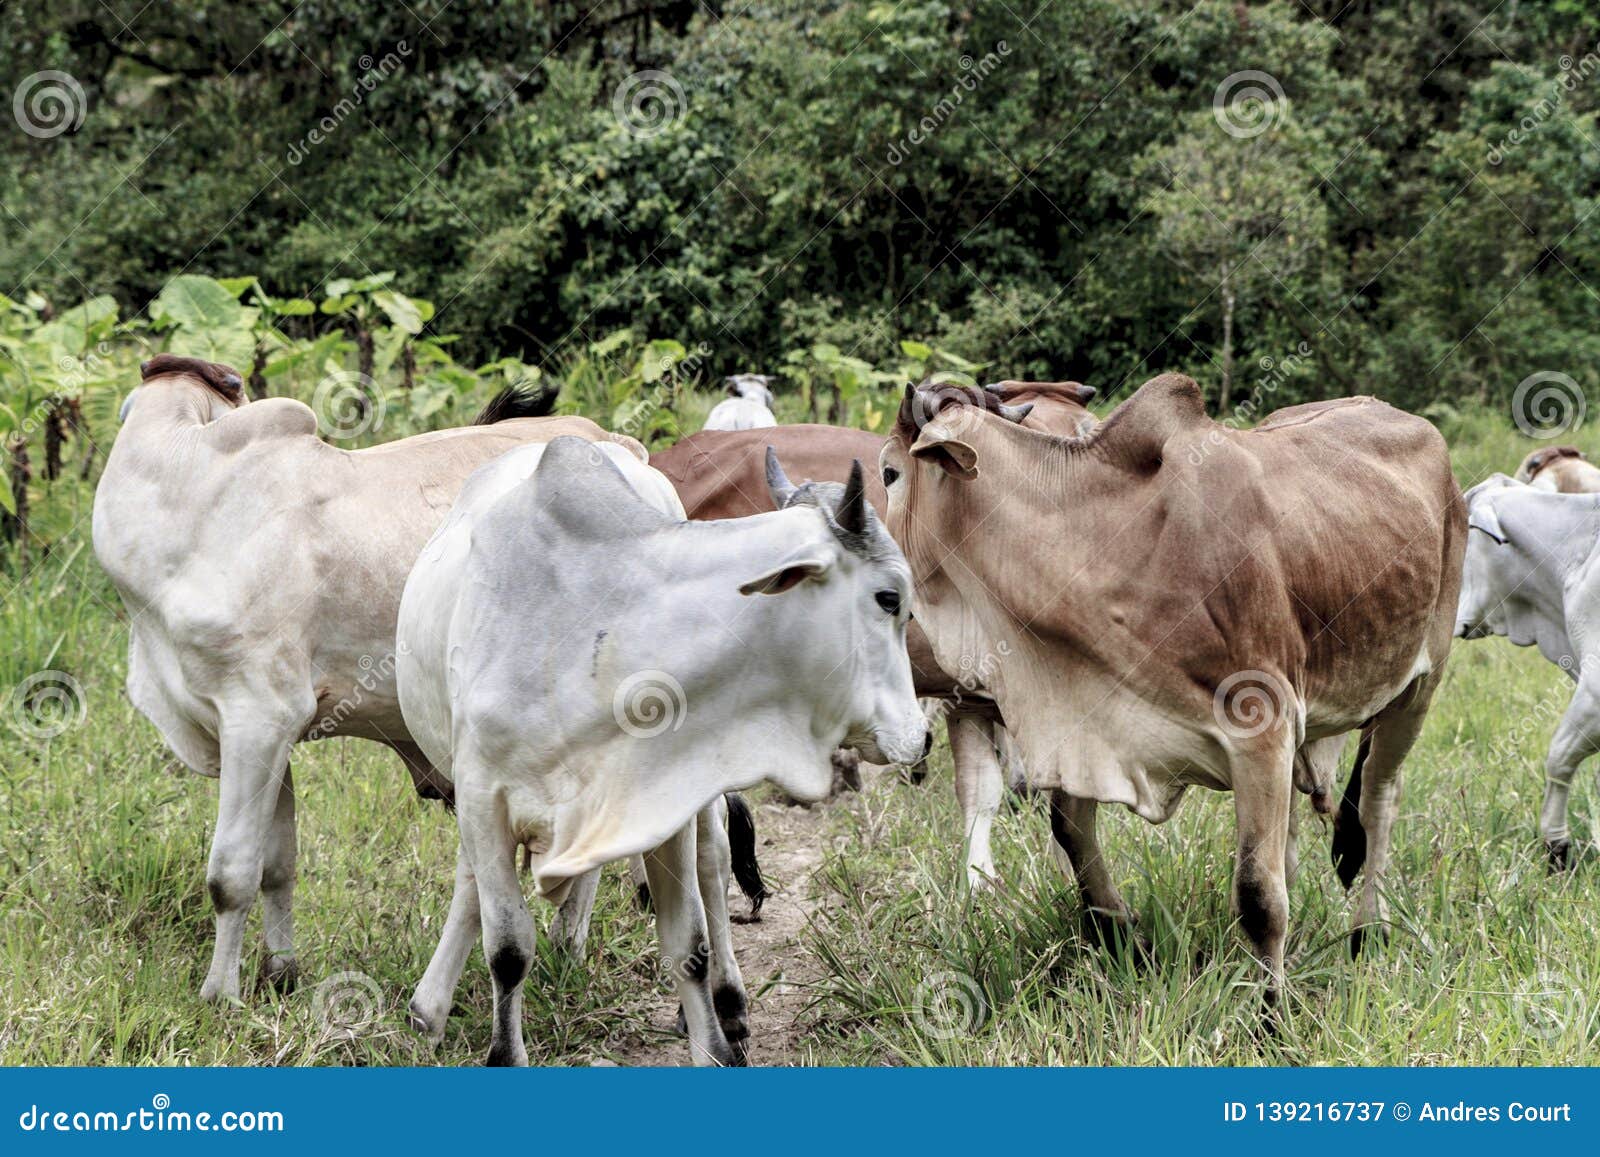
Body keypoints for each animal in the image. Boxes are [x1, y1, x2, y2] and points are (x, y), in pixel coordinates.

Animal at [91, 354, 643, 1004]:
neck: (181, 493)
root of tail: (620, 444)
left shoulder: (258, 715)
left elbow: (231, 874)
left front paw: (219, 996)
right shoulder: (264, 738)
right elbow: (277, 865)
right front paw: (279, 975)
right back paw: (566, 951)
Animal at [395, 437, 928, 1065]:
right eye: (890, 598)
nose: (923, 736)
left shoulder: (666, 798)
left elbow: (689, 945)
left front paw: (716, 1047)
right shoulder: (483, 796)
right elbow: (507, 949)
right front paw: (502, 1053)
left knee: (714, 862)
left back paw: (730, 1004)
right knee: (472, 883)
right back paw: (430, 1007)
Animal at [880, 374, 1465, 1009]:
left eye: (888, 473)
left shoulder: (1261, 727)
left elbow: (1259, 897)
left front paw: (1271, 1016)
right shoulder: (1093, 725)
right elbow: (1070, 830)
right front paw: (1122, 936)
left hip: (1418, 685)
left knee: (1379, 802)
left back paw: (1367, 931)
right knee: (1292, 834)